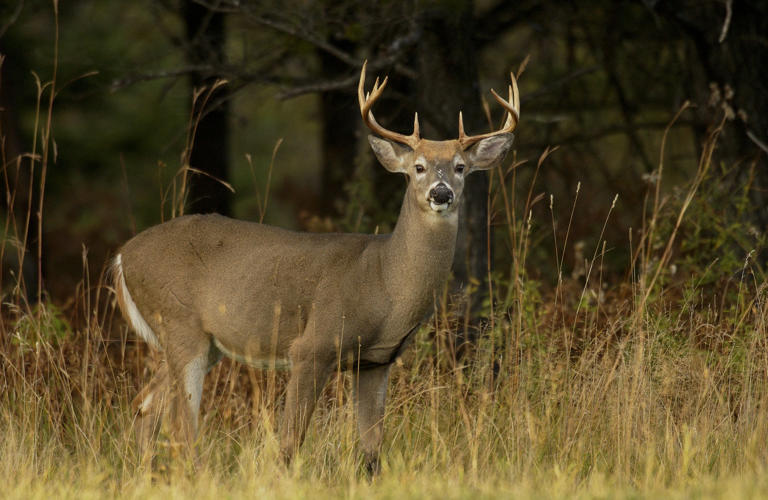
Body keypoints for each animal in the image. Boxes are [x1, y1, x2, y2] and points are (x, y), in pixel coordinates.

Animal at [111, 61, 519, 474]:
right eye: (418, 167)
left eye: (460, 167)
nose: (441, 193)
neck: (385, 282)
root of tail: (123, 256)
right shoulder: (313, 346)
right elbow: (290, 439)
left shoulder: (376, 360)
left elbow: (372, 450)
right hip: (179, 323)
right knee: (181, 422)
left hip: (204, 343)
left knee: (146, 406)